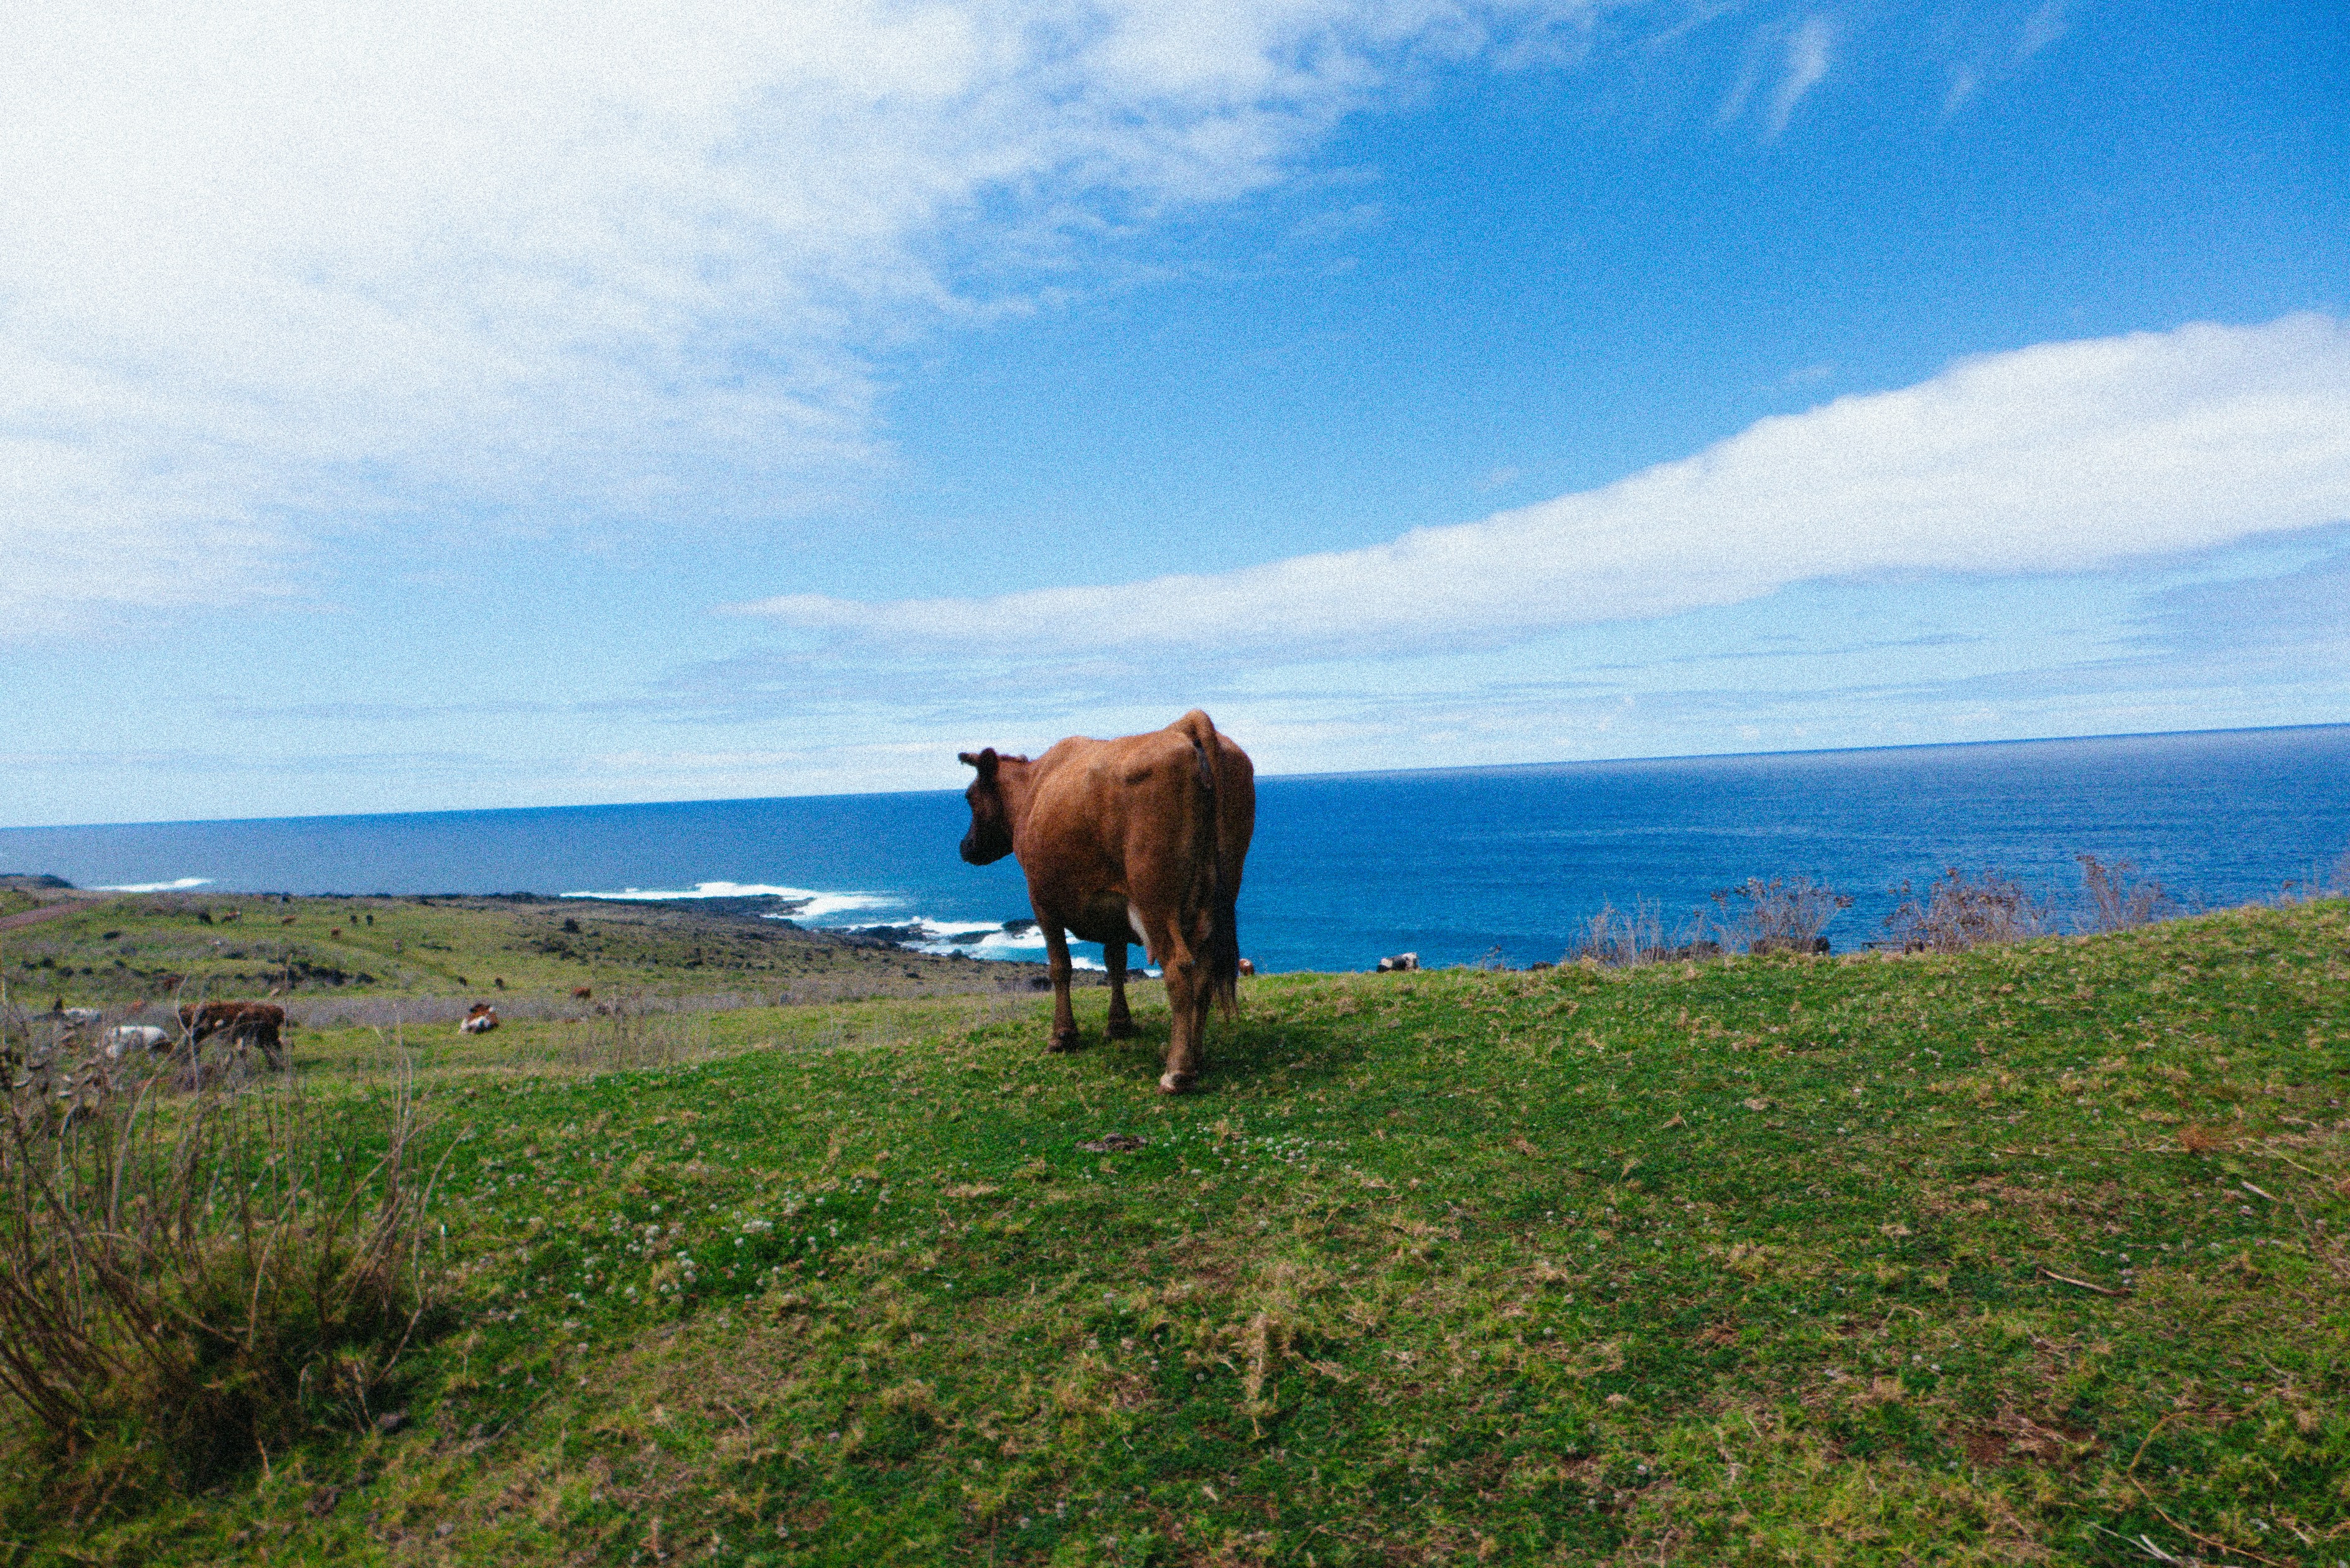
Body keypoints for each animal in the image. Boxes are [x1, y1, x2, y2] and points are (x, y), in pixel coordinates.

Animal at [958, 709, 1254, 1094]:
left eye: (969, 797)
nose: (965, 847)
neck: (1032, 791)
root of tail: (1187, 726)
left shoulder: (1041, 901)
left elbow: (1060, 967)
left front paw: (1063, 1036)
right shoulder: (1114, 905)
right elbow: (1115, 964)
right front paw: (1119, 1024)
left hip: (1154, 896)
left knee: (1180, 969)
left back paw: (1177, 1072)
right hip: (1218, 894)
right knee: (1203, 972)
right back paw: (1195, 1056)